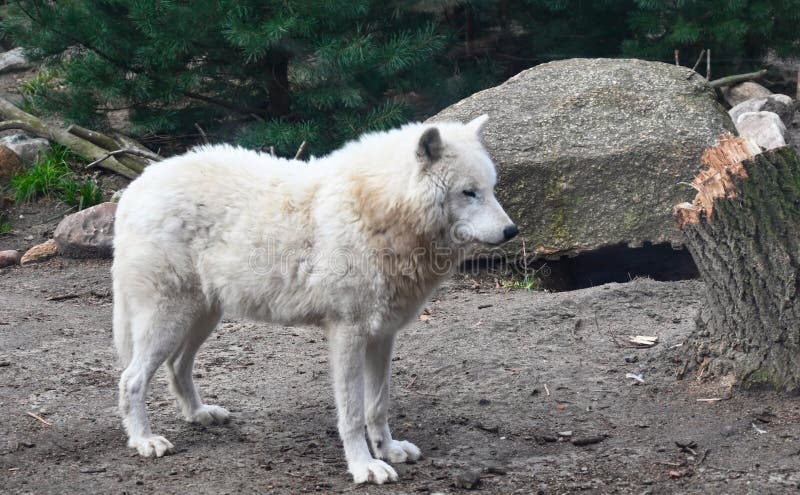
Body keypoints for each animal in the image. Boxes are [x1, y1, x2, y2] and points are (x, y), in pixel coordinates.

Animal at [112, 115, 517, 484]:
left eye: (491, 188)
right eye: (468, 192)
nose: (511, 230)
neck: (379, 212)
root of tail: (137, 186)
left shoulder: (383, 336)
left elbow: (378, 405)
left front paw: (388, 450)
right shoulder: (347, 334)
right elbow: (352, 413)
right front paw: (364, 466)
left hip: (203, 317)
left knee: (177, 367)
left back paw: (199, 415)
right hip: (169, 319)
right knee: (131, 378)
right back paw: (144, 440)